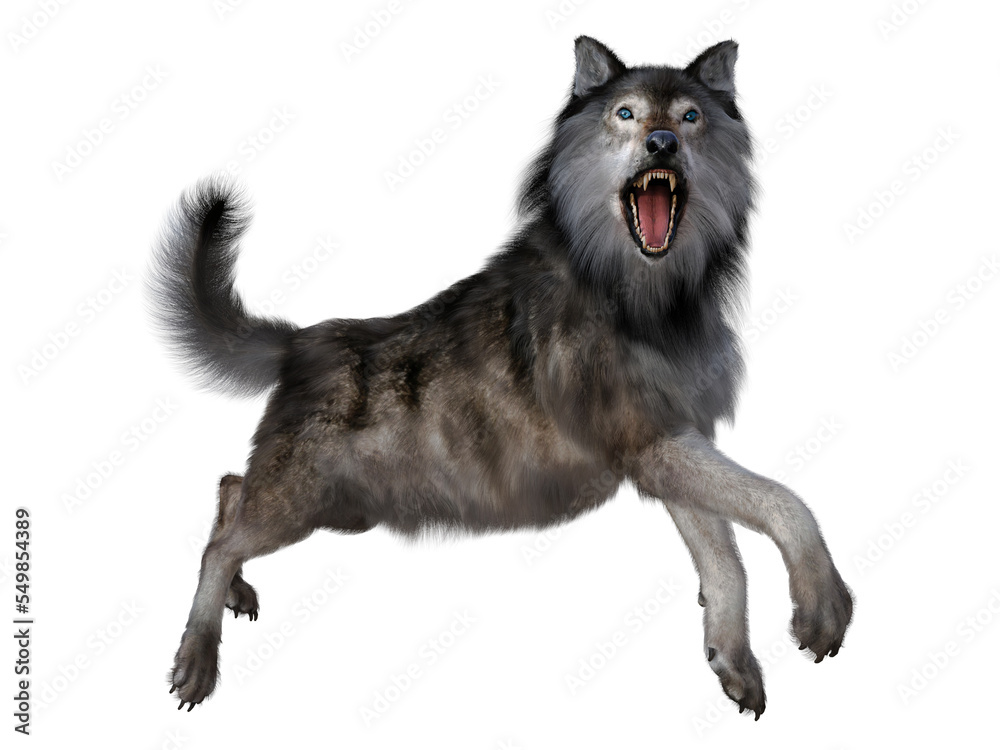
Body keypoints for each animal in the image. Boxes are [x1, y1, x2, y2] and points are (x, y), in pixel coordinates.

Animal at [150, 37, 853, 718]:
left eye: (690, 117)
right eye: (626, 114)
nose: (662, 143)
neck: (645, 293)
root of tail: (298, 342)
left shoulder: (671, 442)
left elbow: (726, 557)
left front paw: (734, 661)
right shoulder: (652, 446)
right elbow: (786, 504)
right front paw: (824, 609)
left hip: (336, 509)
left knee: (228, 490)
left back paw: (237, 592)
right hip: (302, 504)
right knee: (220, 539)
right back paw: (196, 662)